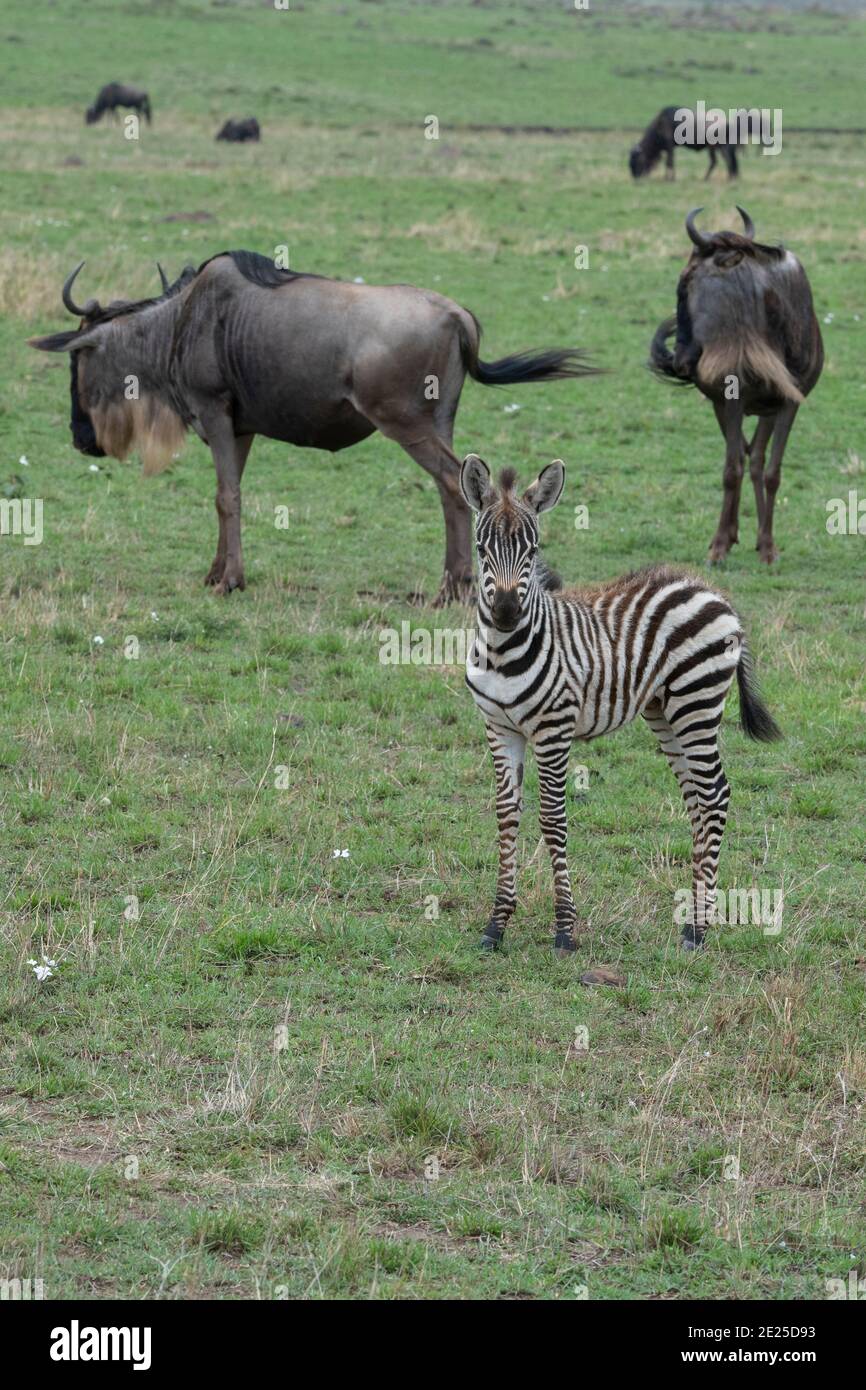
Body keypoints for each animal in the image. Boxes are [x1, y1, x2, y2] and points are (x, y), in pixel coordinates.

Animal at [459, 454, 781, 956]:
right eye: (481, 547)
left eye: (533, 550)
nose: (507, 613)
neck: (503, 653)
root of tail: (712, 590)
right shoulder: (500, 728)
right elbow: (507, 816)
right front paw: (496, 926)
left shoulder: (554, 730)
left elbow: (552, 819)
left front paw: (565, 930)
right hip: (665, 712)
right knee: (696, 799)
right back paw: (690, 920)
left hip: (697, 703)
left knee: (715, 794)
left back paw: (700, 929)